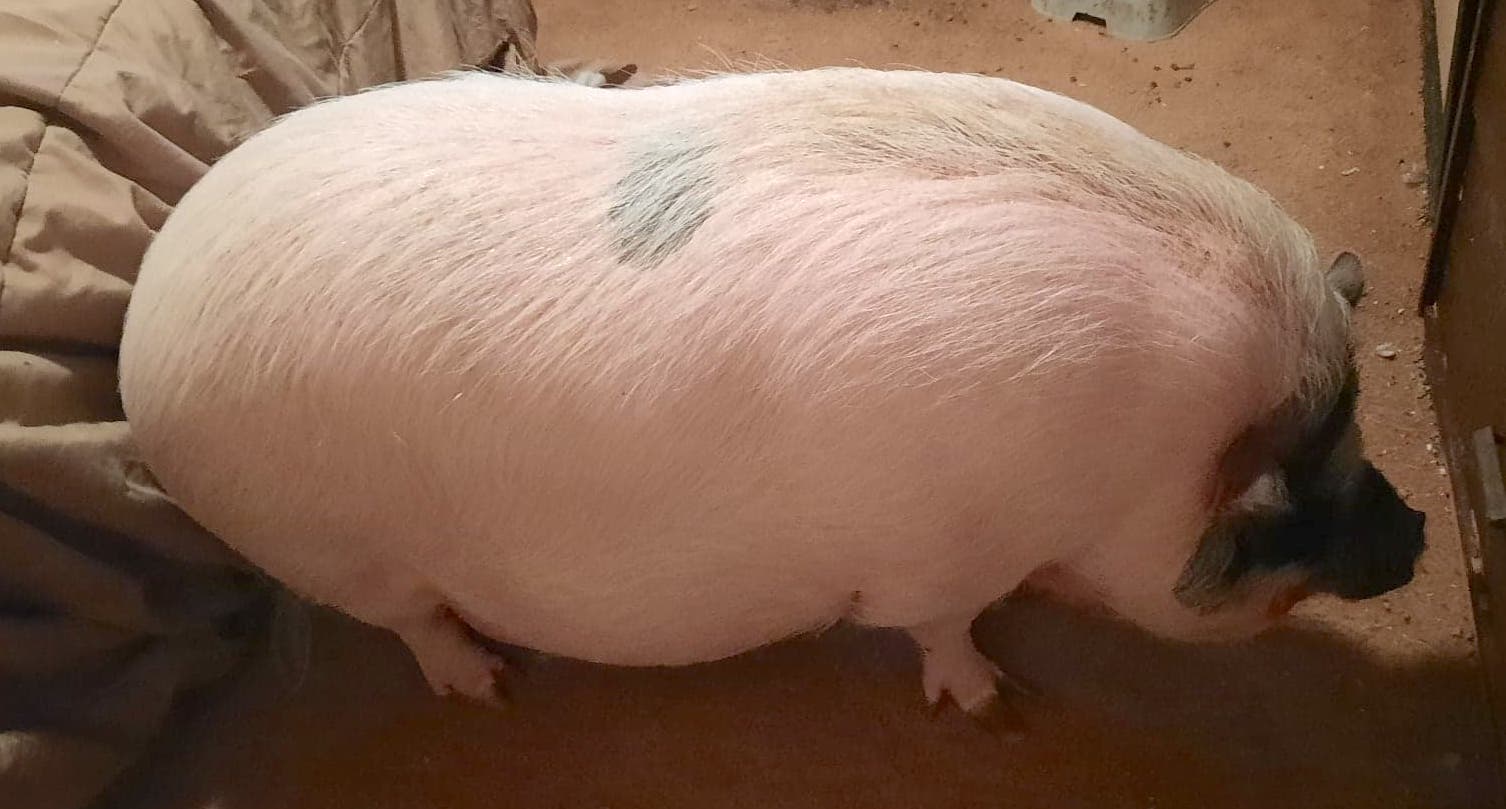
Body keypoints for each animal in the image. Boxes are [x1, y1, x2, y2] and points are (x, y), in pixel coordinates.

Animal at [117, 67, 1425, 729]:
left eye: (1357, 435)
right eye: (1293, 518)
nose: (1416, 531)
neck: (1120, 480)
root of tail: (145, 328)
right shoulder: (933, 557)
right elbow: (941, 628)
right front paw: (992, 703)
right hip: (337, 550)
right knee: (412, 620)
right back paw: (489, 684)